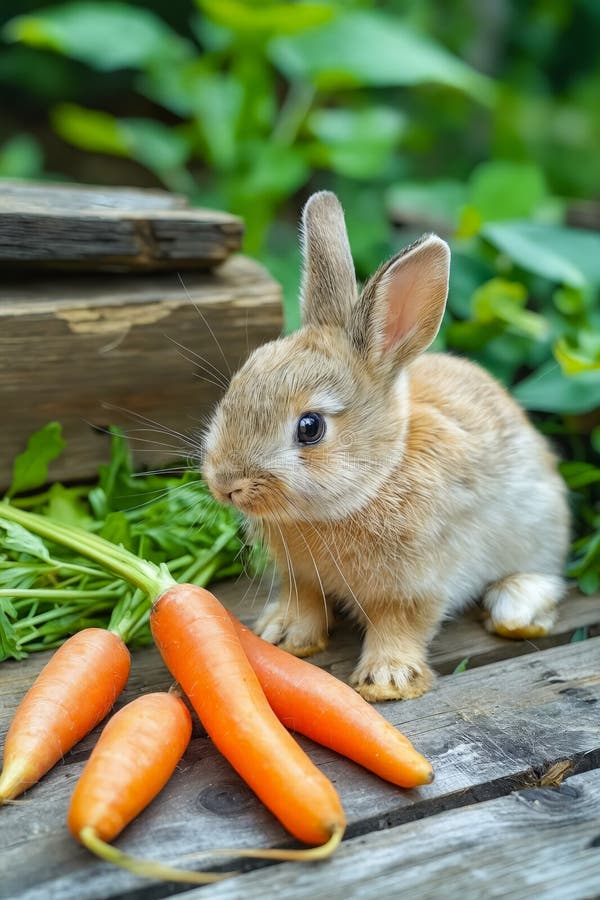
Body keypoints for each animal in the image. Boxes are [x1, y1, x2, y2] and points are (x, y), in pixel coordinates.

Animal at [202, 191, 570, 702]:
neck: (376, 479)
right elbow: (305, 601)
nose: (225, 484)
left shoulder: (418, 585)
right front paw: (282, 637)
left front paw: (387, 682)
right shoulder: (302, 578)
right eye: (240, 382)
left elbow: (400, 626)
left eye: (310, 427)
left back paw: (518, 610)